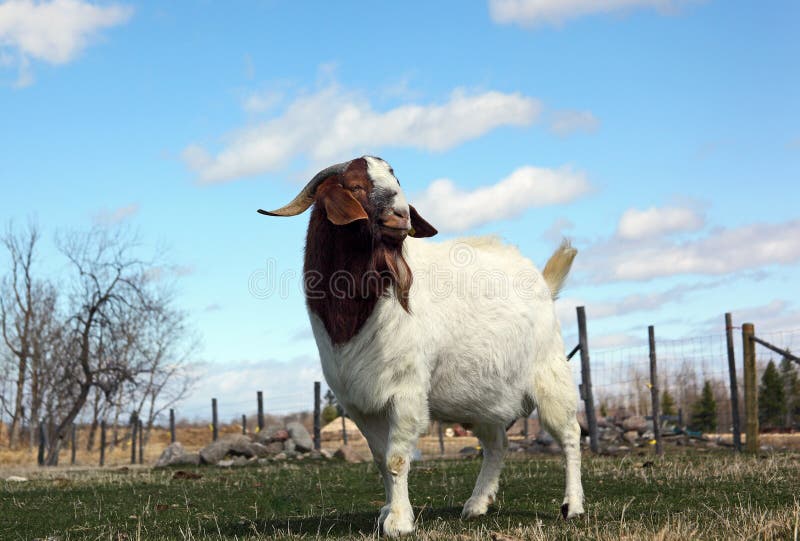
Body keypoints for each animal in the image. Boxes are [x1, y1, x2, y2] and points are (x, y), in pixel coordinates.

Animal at [259, 156, 584, 537]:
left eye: (397, 182)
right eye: (355, 186)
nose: (402, 216)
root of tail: (544, 282)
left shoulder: (406, 390)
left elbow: (397, 458)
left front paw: (399, 522)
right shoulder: (357, 403)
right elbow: (379, 460)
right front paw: (387, 511)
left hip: (551, 376)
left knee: (570, 435)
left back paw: (572, 505)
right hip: (480, 398)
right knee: (497, 445)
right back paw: (477, 504)